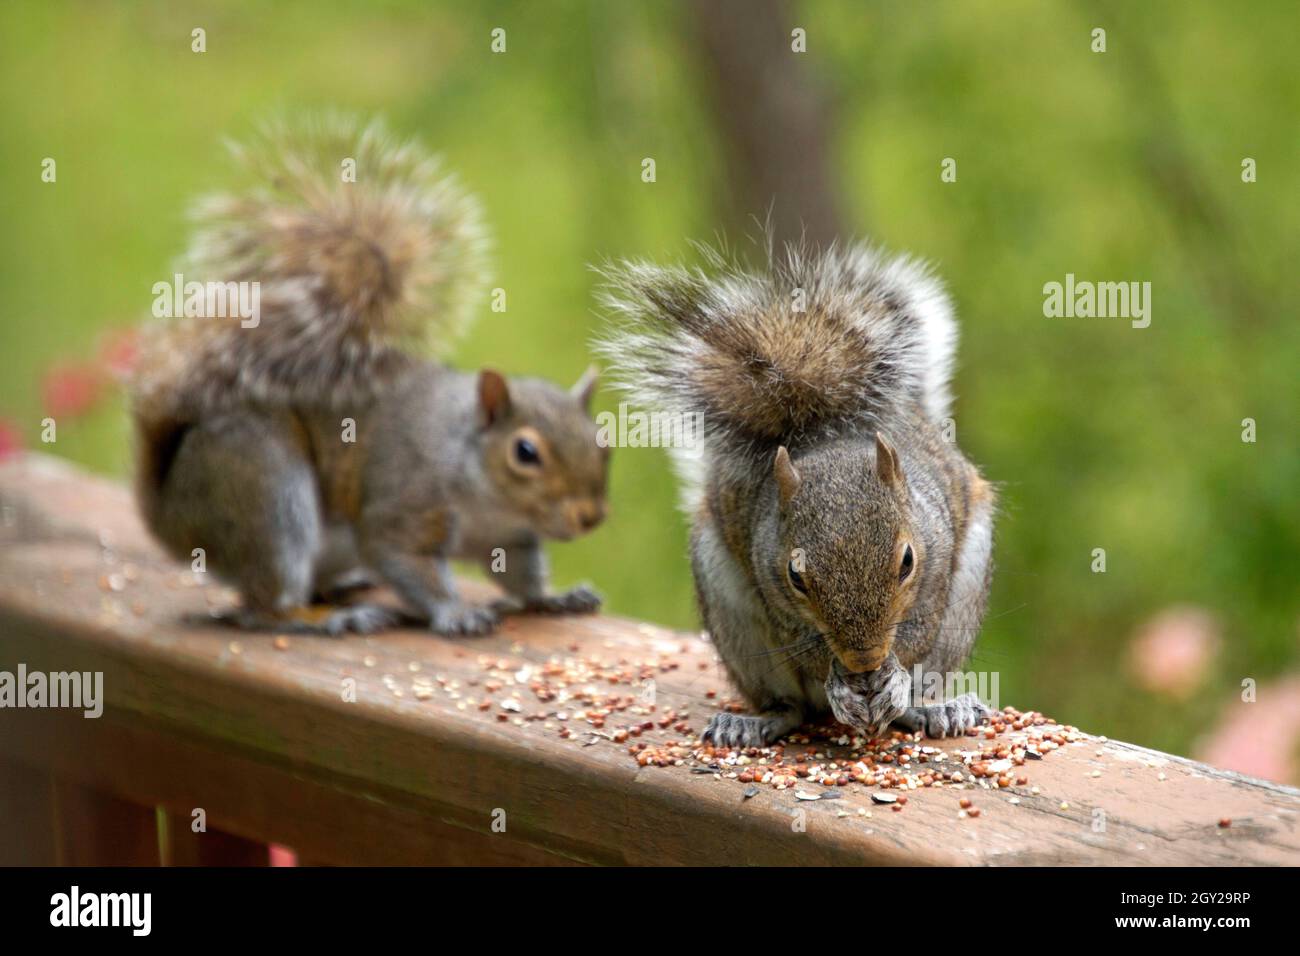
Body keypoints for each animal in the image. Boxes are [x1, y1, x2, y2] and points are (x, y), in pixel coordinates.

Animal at [130, 117, 609, 636]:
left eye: (604, 442)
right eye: (525, 453)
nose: (590, 518)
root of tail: (168, 516)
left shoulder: (512, 540)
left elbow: (524, 577)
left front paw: (556, 597)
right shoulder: (402, 509)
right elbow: (404, 561)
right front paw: (457, 612)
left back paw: (345, 588)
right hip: (265, 491)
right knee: (263, 607)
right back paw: (330, 617)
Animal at [598, 241, 995, 744]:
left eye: (907, 562)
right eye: (796, 576)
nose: (863, 660)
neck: (834, 452)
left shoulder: (936, 565)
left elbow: (915, 631)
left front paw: (891, 678)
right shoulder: (770, 580)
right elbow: (804, 644)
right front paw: (840, 679)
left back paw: (929, 709)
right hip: (737, 626)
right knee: (792, 707)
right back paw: (757, 721)